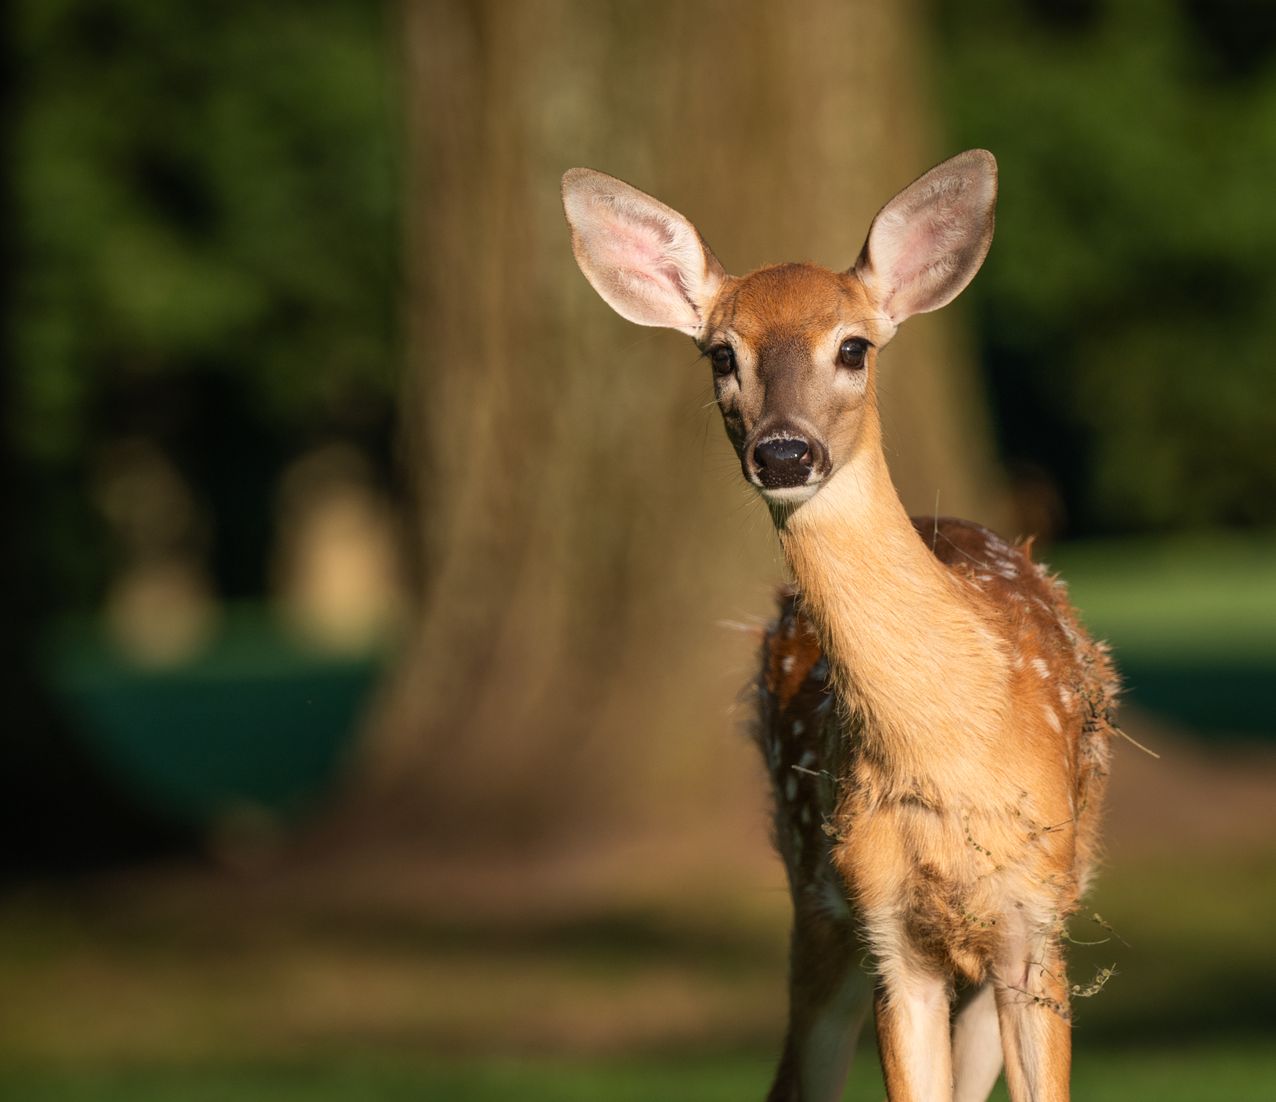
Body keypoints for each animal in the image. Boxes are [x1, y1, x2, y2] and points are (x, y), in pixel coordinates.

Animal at [561, 150, 1119, 1102]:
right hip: (812, 887)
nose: (785, 452)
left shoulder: (1034, 923)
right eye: (721, 354)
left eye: (854, 347)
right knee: (797, 1077)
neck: (948, 752)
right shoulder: (887, 930)